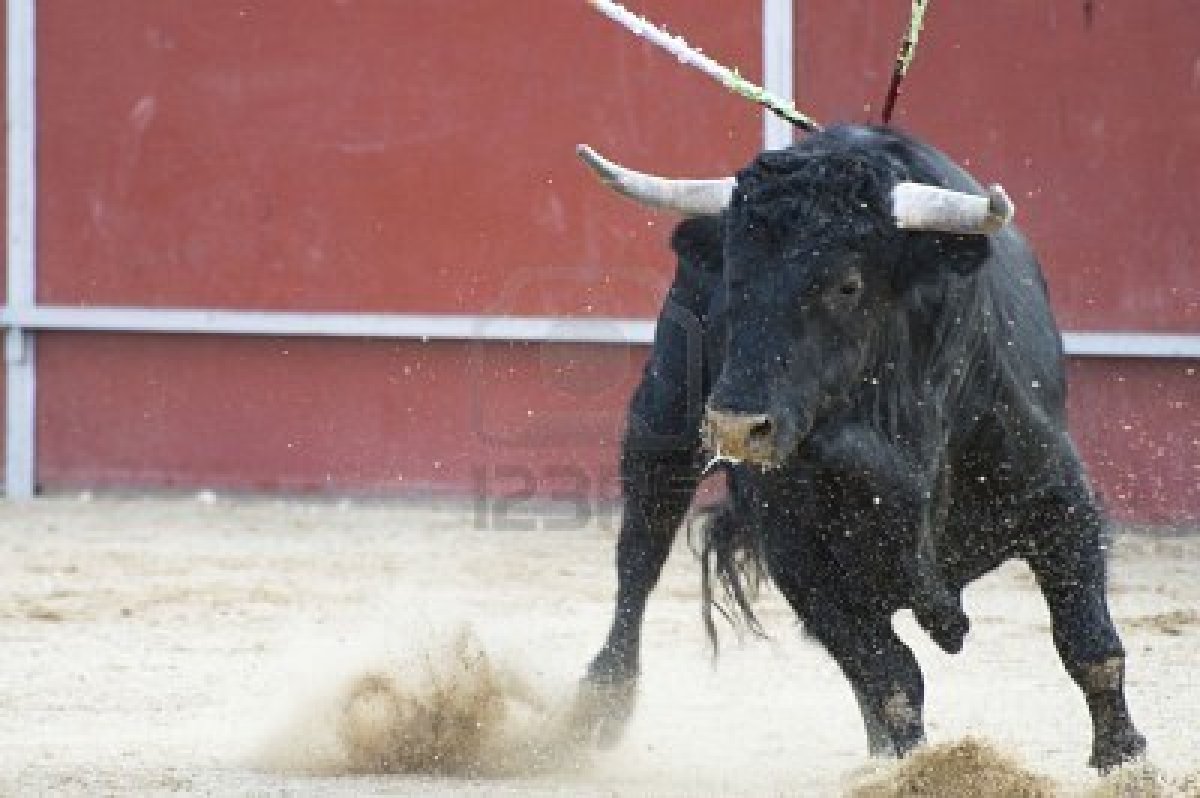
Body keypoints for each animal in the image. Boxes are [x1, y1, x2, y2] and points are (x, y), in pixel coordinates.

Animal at [568, 124, 1147, 772]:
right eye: (732, 282)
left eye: (847, 285)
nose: (737, 427)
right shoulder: (799, 555)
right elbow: (889, 674)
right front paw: (911, 771)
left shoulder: (1061, 500)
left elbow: (1090, 646)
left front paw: (1125, 763)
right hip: (659, 423)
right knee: (641, 552)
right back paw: (600, 703)